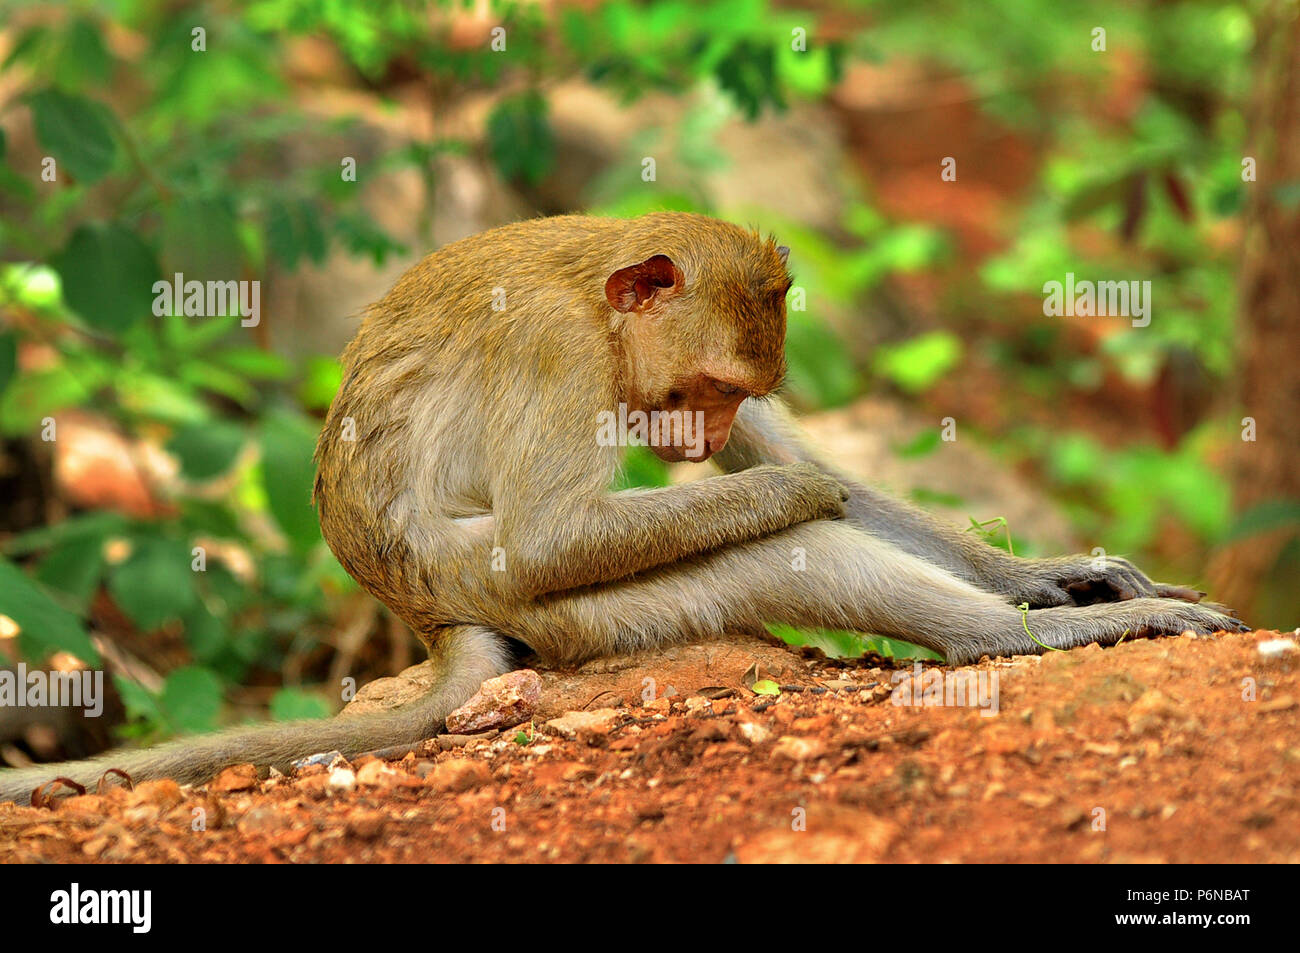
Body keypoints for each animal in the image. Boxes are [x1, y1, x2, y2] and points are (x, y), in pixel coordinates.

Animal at [0, 212, 1248, 805]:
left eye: (730, 394)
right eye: (698, 390)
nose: (699, 433)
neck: (596, 297)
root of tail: (426, 614)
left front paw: (1047, 570)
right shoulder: (555, 348)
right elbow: (560, 533)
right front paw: (808, 488)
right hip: (560, 615)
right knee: (773, 553)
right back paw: (1015, 639)